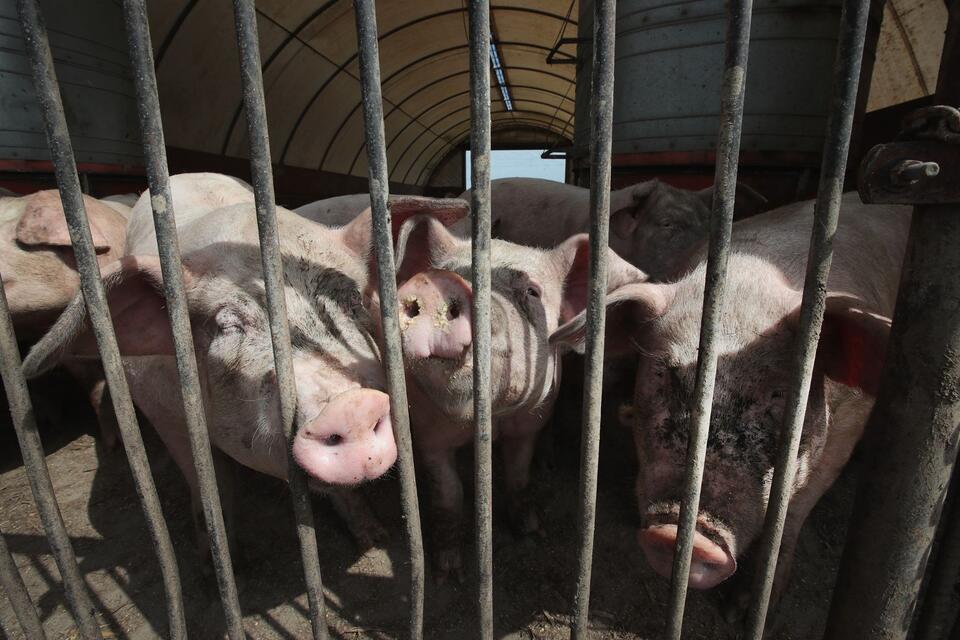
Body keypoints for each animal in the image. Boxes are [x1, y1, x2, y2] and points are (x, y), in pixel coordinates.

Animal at [23, 172, 470, 555]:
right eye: (227, 326)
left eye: (352, 302)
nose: (351, 406)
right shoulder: (163, 413)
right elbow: (212, 487)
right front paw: (219, 564)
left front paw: (373, 539)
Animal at [392, 214, 648, 580]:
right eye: (445, 271)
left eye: (531, 292)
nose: (434, 282)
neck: (491, 416)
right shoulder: (428, 433)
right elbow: (449, 495)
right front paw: (449, 572)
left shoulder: (530, 422)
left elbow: (518, 476)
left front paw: (532, 531)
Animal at [550, 192, 910, 615]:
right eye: (663, 373)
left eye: (780, 393)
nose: (680, 536)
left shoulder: (849, 426)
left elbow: (792, 517)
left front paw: (744, 612)